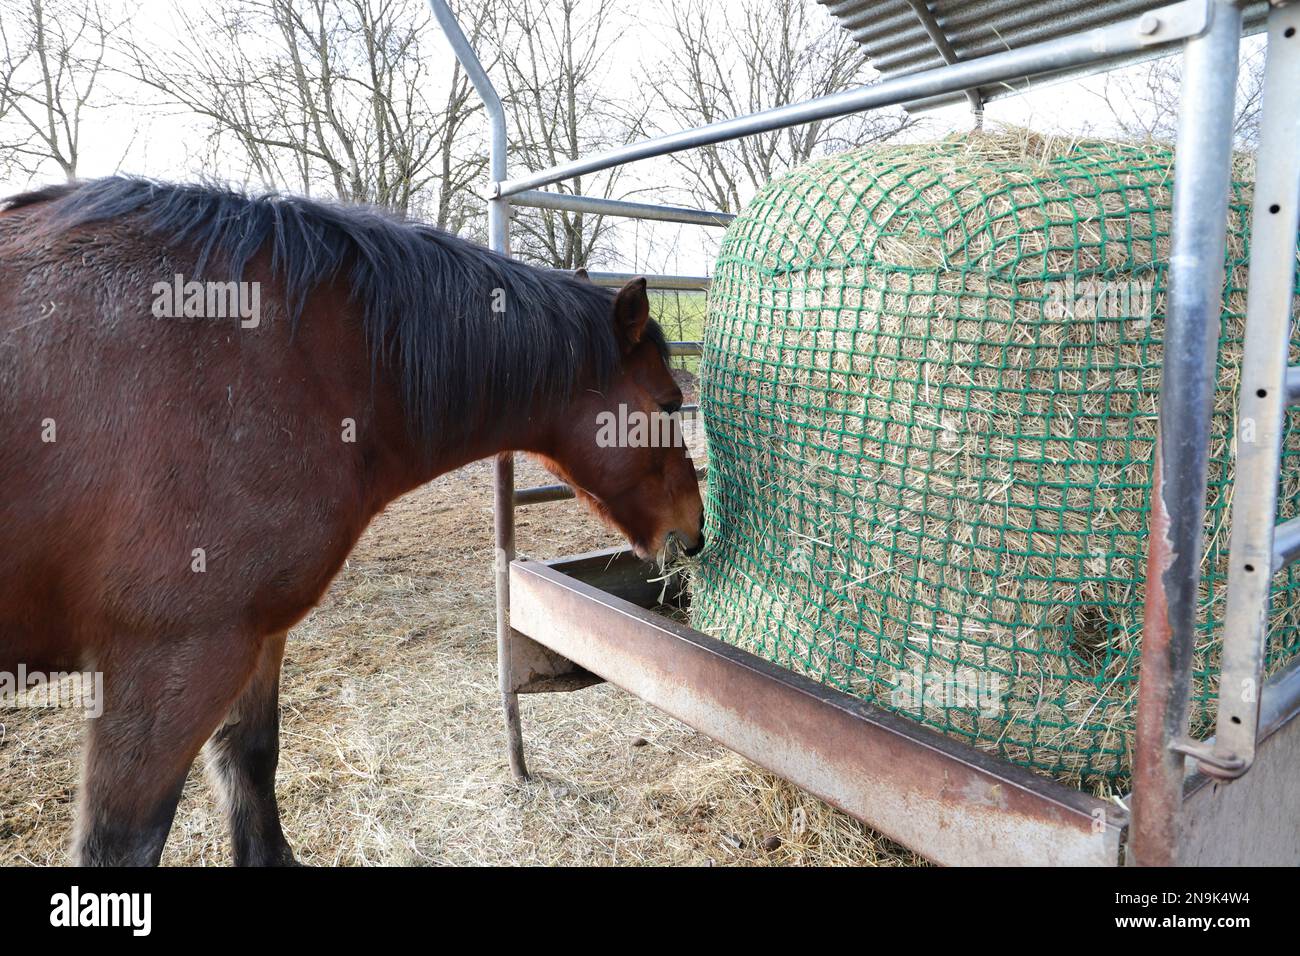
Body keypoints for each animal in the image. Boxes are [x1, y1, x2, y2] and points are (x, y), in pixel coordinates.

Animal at [0, 177, 704, 866]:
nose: (696, 529)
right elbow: (122, 842)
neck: (289, 367)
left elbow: (251, 760)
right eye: (671, 404)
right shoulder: (170, 660)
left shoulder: (255, 633)